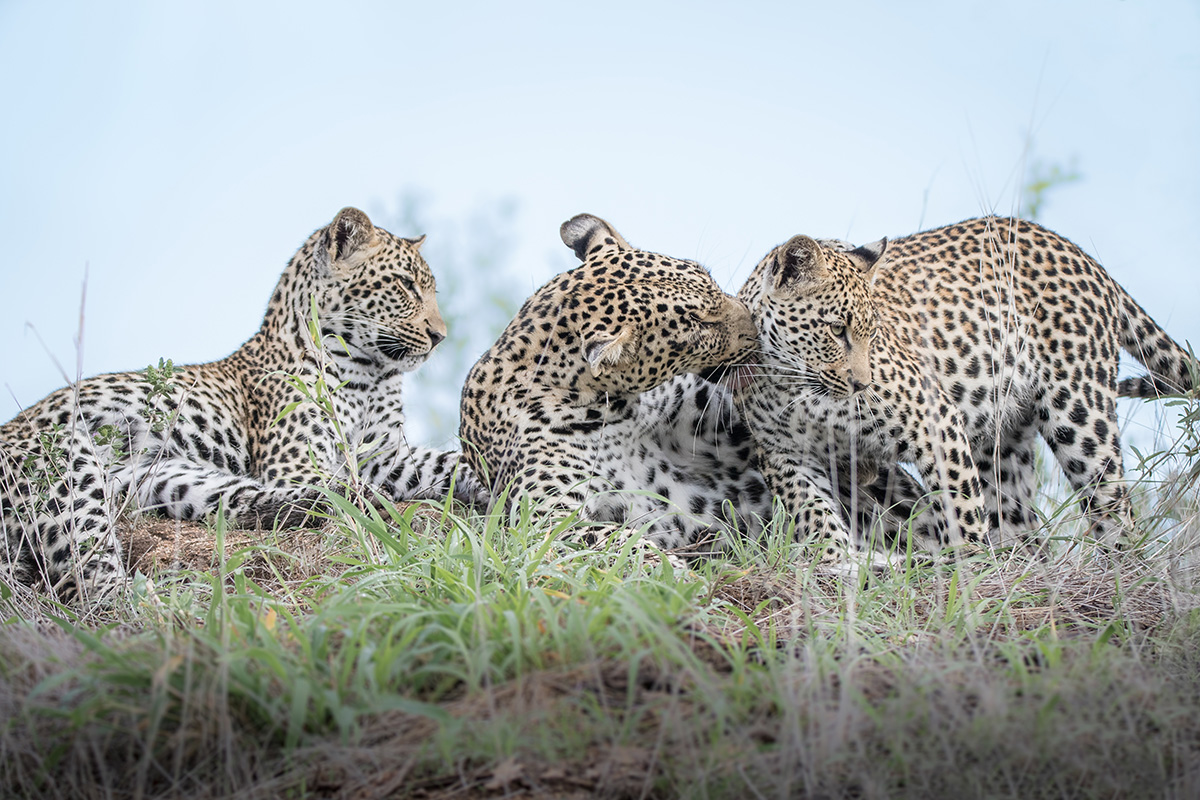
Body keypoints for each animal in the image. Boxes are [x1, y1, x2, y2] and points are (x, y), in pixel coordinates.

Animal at [0, 207, 484, 606]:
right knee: (83, 579)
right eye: (404, 285)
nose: (440, 336)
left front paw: (487, 480)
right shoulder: (296, 462)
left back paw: (340, 500)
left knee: (242, 502)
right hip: (63, 460)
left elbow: (447, 461)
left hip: (159, 478)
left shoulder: (384, 456)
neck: (368, 371)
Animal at [458, 214, 767, 561]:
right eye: (701, 326)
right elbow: (620, 545)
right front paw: (673, 568)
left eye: (710, 278)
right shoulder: (543, 520)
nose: (757, 328)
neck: (613, 412)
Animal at [734, 216, 1196, 563]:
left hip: (1080, 414)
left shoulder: (933, 419)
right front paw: (837, 564)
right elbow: (813, 512)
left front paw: (970, 570)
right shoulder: (785, 454)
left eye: (872, 333)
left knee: (1115, 509)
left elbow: (960, 506)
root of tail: (1079, 253)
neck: (796, 390)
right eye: (835, 330)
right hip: (1004, 443)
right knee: (1022, 524)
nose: (861, 383)